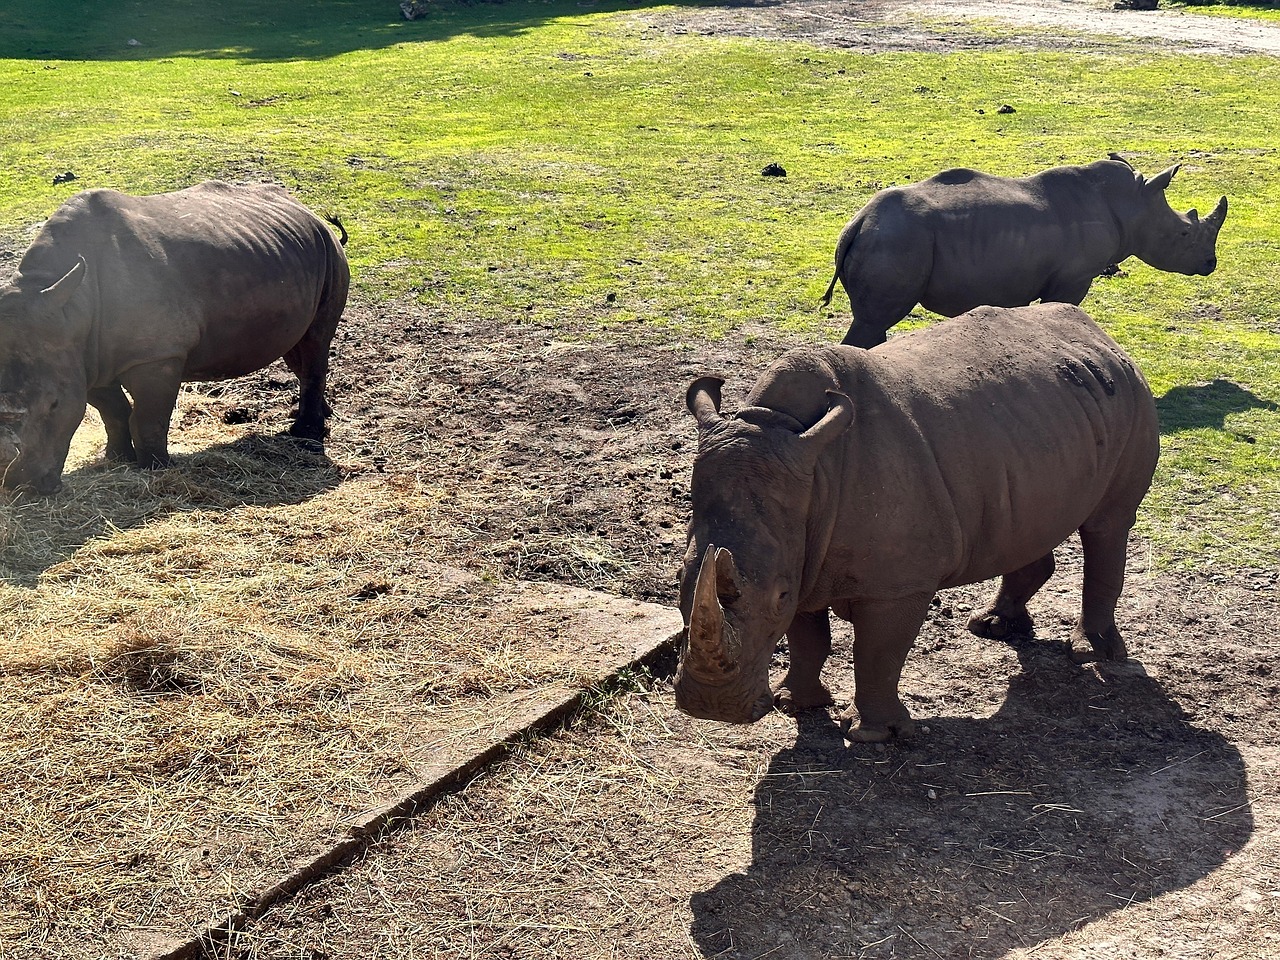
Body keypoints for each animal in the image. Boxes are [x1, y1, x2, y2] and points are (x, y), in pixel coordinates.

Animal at [0, 181, 349, 494]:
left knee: (316, 341)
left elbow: (147, 418)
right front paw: (117, 460)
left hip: (331, 257)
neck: (71, 306)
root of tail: (312, 214)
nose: (20, 487)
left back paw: (305, 436)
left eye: (54, 405)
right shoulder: (84, 355)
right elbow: (112, 411)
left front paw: (156, 467)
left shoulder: (158, 355)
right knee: (297, 348)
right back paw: (318, 415)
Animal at [676, 303, 1159, 740]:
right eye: (681, 580)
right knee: (1029, 522)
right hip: (1039, 429)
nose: (712, 708)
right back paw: (993, 628)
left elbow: (878, 652)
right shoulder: (801, 552)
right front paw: (793, 703)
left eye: (778, 597)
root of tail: (1102, 335)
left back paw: (1093, 654)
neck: (784, 430)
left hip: (1134, 399)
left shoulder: (898, 583)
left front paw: (872, 735)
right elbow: (806, 638)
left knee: (1109, 524)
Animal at [821, 155, 1227, 348]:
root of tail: (858, 223)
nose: (1210, 264)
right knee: (873, 321)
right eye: (1183, 233)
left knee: (874, 324)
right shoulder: (1073, 278)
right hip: (896, 241)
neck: (1131, 204)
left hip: (887, 239)